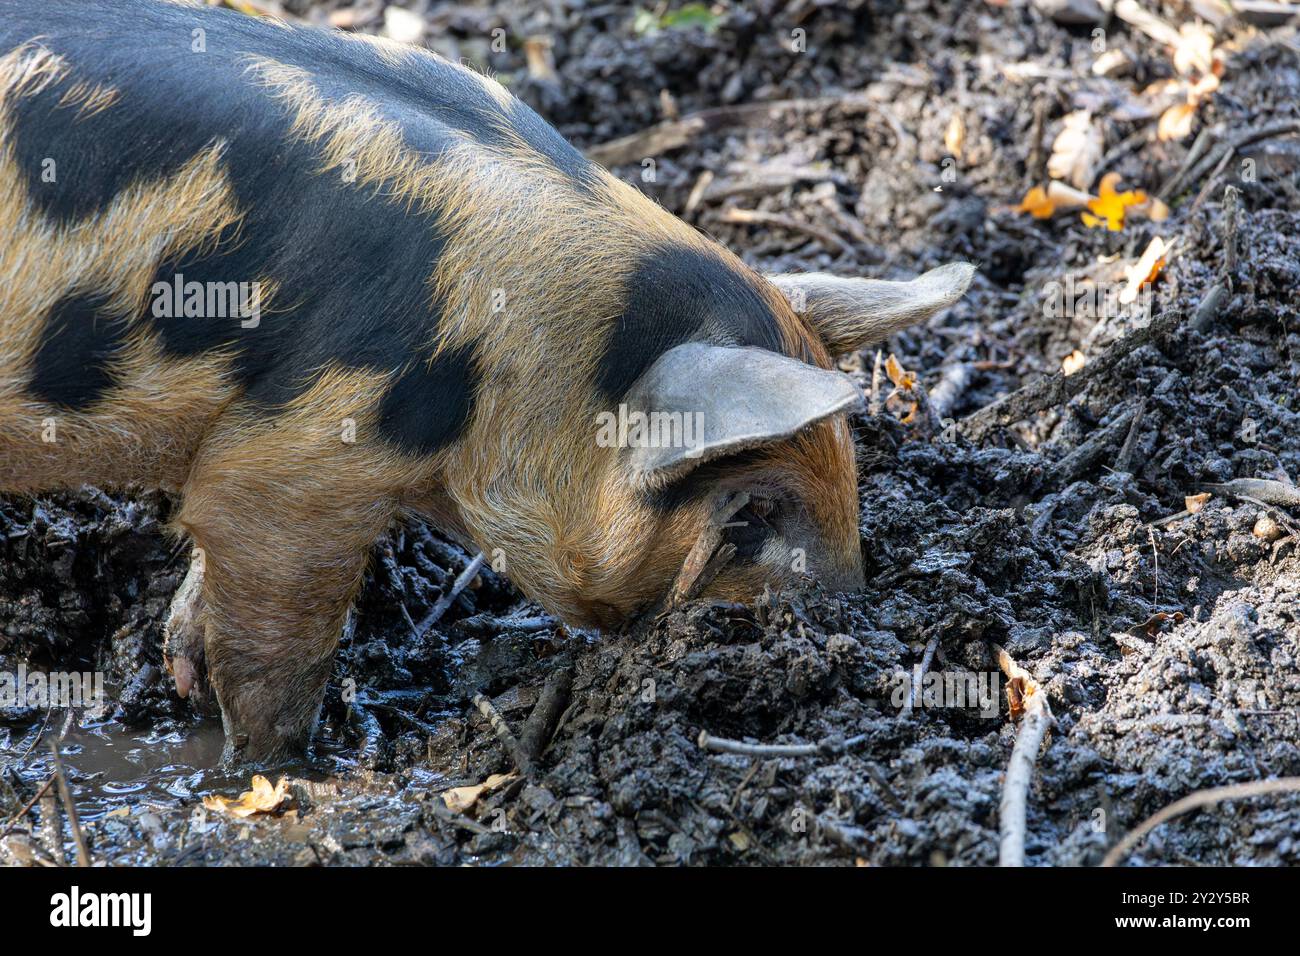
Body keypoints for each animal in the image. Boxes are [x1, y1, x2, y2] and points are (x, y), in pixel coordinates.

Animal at [0, 0, 973, 760]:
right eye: (752, 515)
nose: (851, 615)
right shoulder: (293, 464)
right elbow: (275, 640)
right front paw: (282, 772)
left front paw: (185, 680)